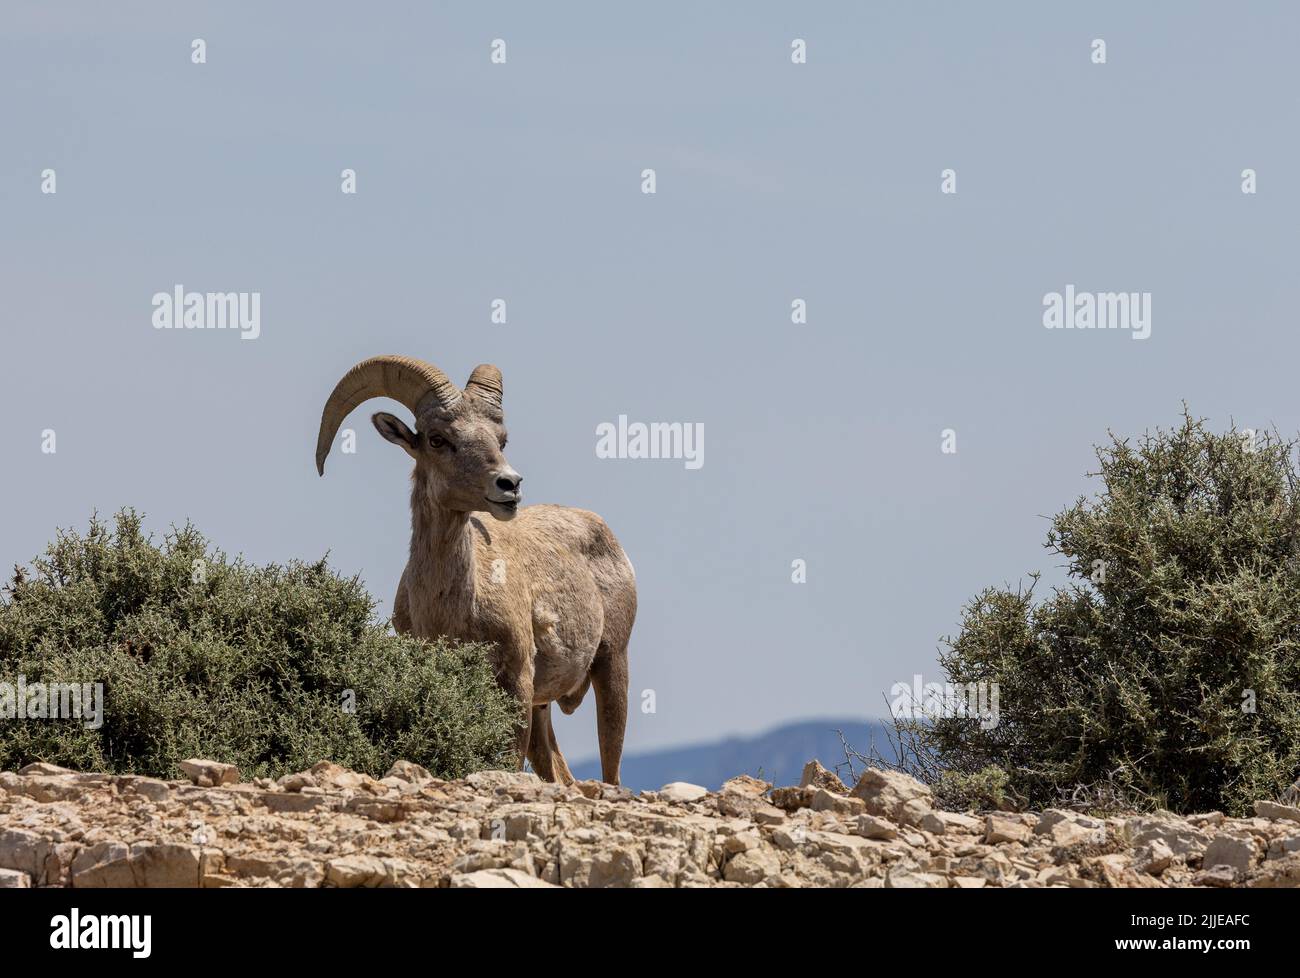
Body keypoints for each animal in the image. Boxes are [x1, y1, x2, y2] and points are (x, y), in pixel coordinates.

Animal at [315, 355, 636, 784]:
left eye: (501, 439)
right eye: (437, 439)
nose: (509, 485)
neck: (450, 610)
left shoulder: (516, 681)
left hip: (612, 663)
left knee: (611, 771)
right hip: (547, 706)